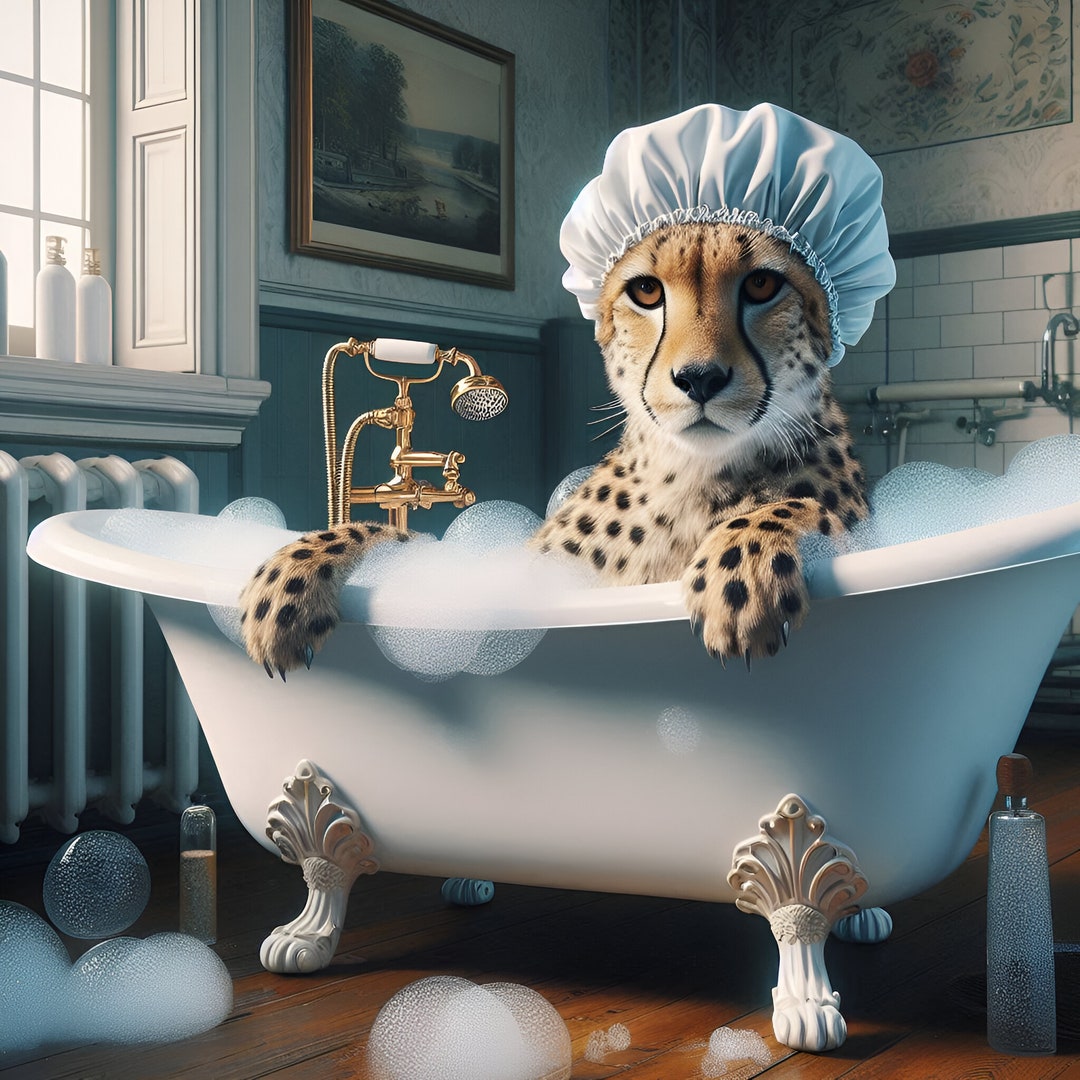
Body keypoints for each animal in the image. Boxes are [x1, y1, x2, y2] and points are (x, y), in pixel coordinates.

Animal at [239, 221, 868, 678]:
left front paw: (742, 569)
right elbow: (399, 537)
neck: (687, 473)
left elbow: (808, 508)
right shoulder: (519, 576)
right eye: (646, 291)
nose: (699, 378)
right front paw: (289, 574)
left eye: (762, 285)